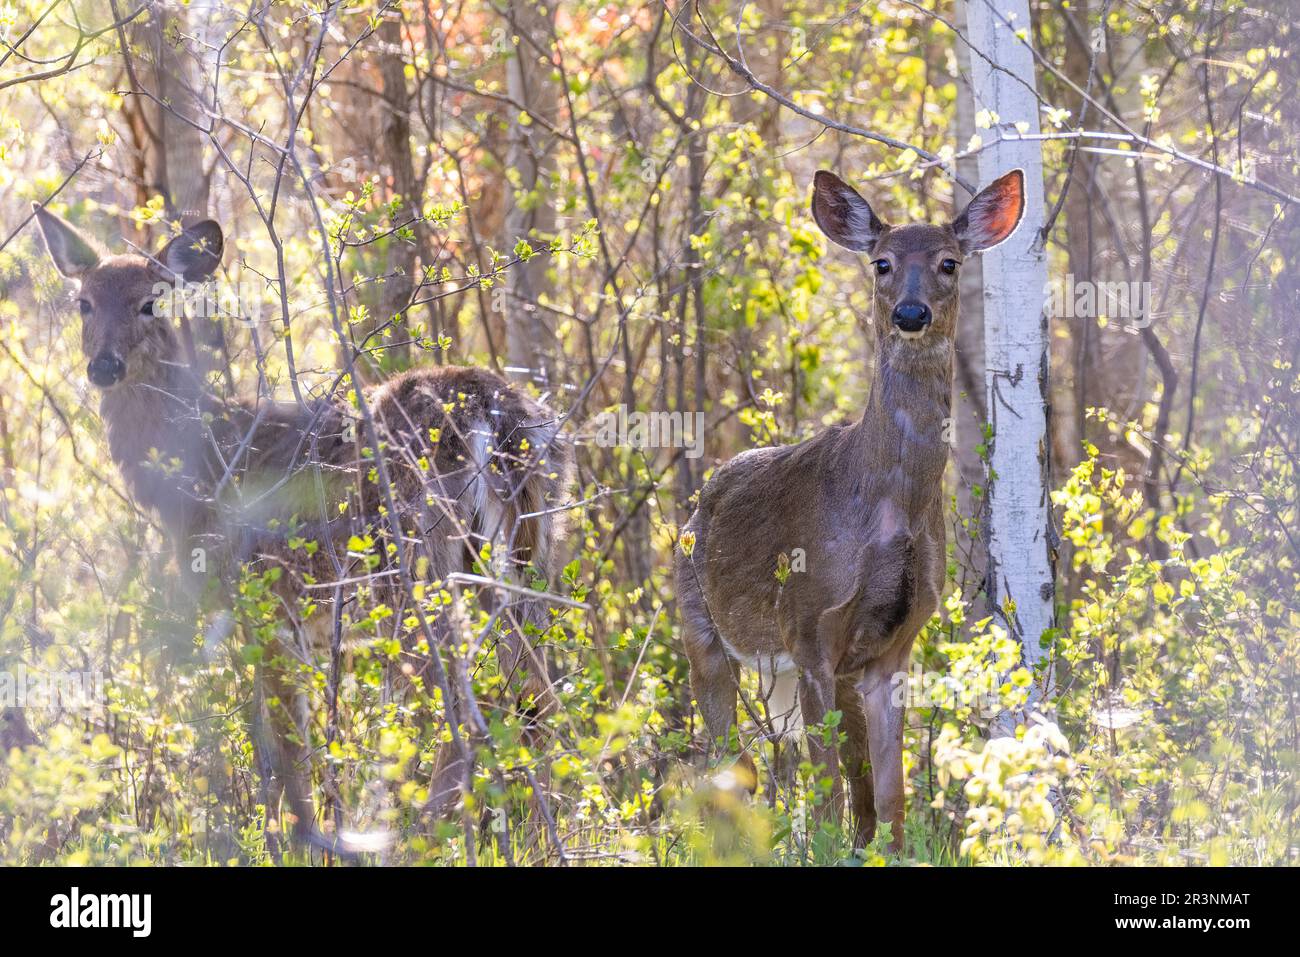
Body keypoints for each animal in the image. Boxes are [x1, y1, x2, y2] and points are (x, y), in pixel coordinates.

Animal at [32, 204, 573, 854]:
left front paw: (304, 843)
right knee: (538, 697)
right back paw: (539, 836)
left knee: (465, 709)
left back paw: (418, 838)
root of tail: (494, 414)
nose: (104, 366)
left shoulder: (265, 600)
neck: (203, 464)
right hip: (531, 551)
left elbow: (290, 756)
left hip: (416, 565)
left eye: (150, 303)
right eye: (84, 302)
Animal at [675, 169, 1025, 852]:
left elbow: (889, 794)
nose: (910, 314)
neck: (888, 511)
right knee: (726, 761)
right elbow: (831, 793)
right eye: (881, 262)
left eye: (949, 261)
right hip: (701, 627)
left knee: (768, 762)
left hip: (785, 673)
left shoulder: (895, 644)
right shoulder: (809, 626)